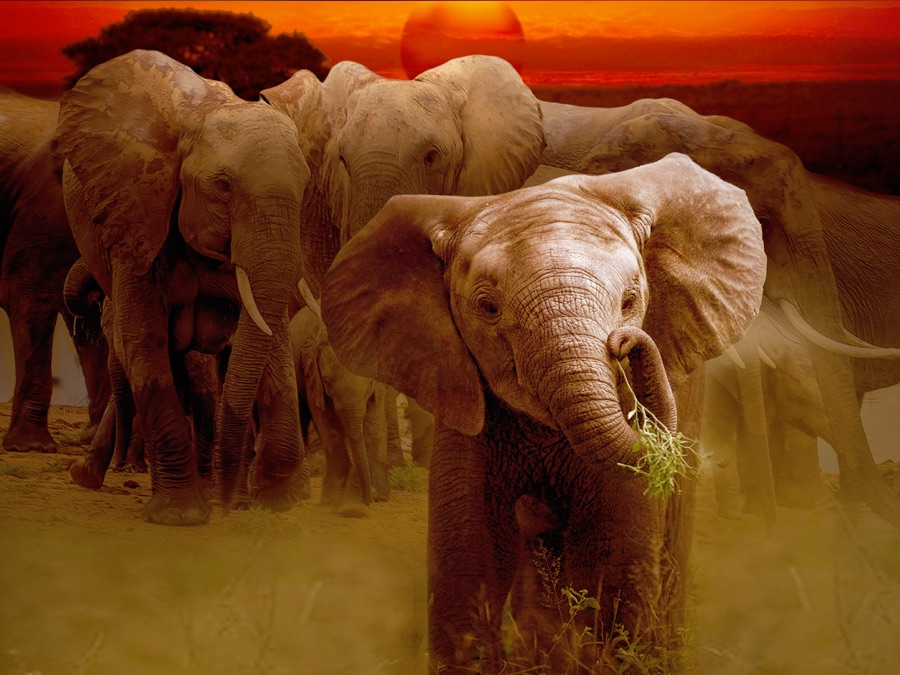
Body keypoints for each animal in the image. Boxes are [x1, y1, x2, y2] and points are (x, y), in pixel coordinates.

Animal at [53, 50, 311, 525]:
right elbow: (144, 338)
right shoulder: (138, 215)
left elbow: (268, 329)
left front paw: (279, 500)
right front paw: (182, 515)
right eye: (223, 186)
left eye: (305, 186)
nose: (231, 504)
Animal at [291, 304, 389, 518]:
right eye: (328, 382)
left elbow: (372, 428)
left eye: (369, 382)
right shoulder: (312, 374)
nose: (370, 499)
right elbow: (329, 428)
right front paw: (341, 505)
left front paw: (354, 509)